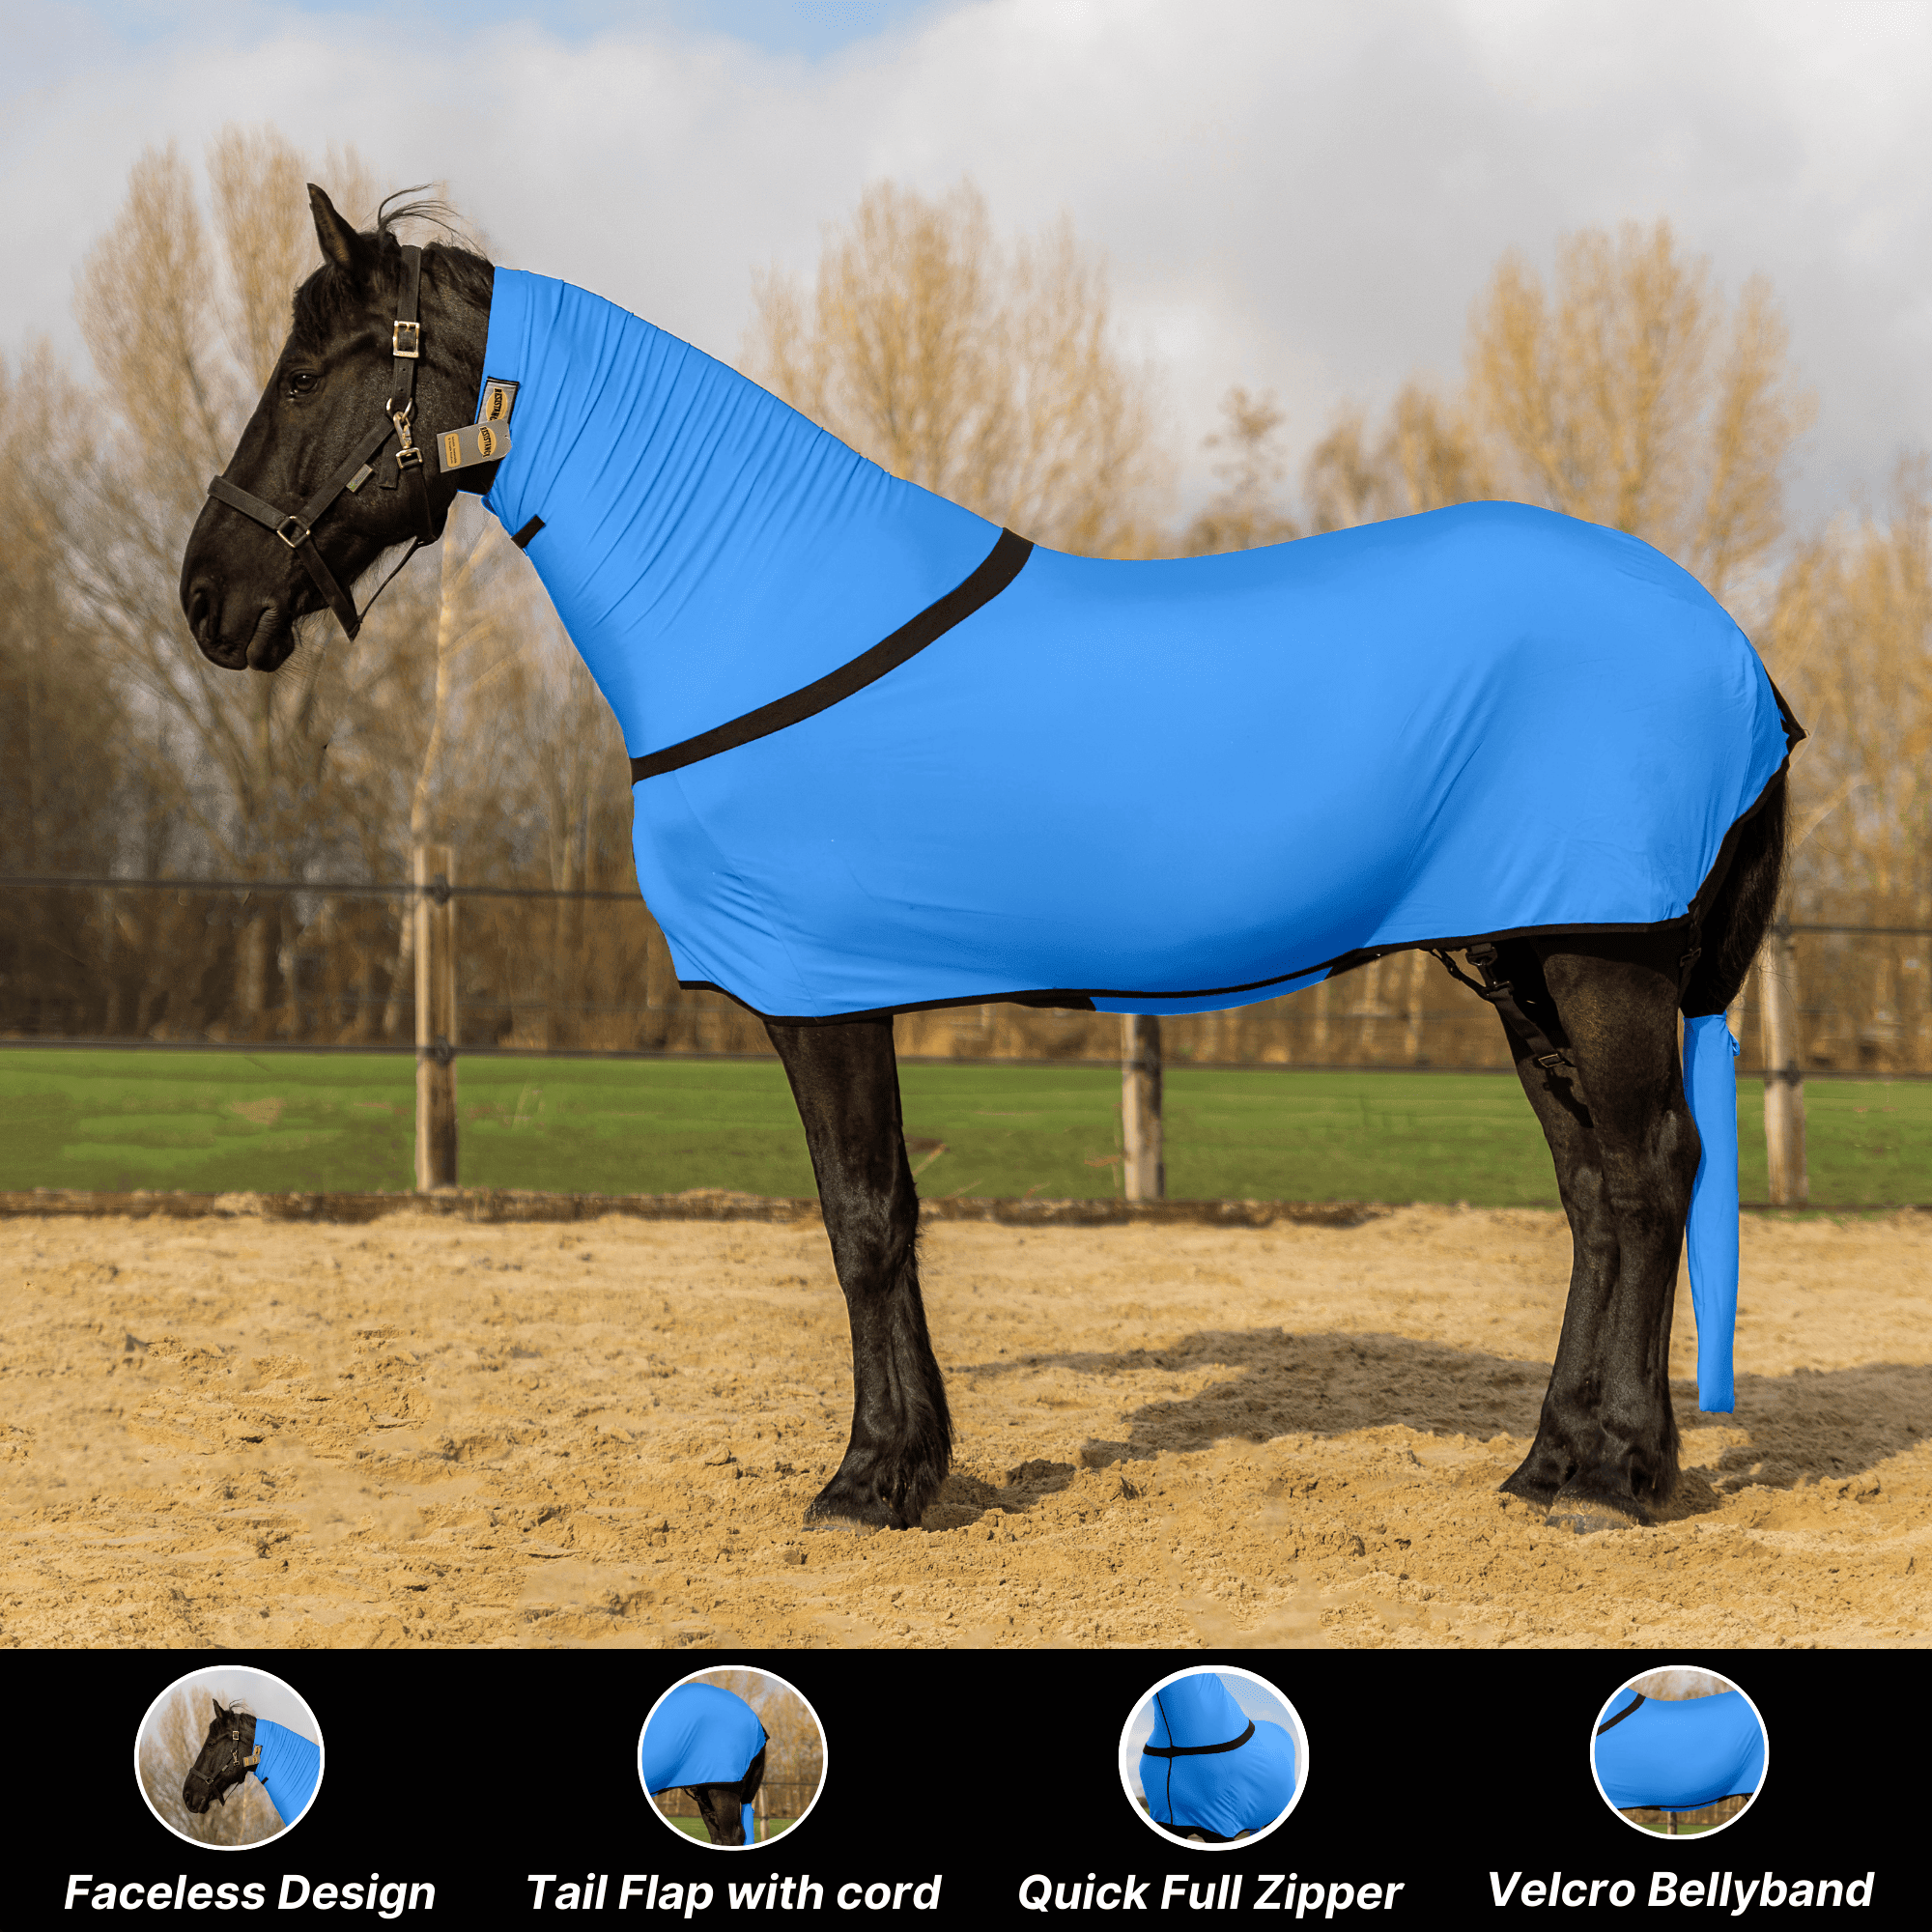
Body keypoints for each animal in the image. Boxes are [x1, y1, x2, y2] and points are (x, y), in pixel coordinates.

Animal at [179, 186, 1797, 1539]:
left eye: (307, 378)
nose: (206, 595)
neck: (766, 611)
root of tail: (1740, 657)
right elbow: (877, 1213)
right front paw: (905, 1464)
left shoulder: (820, 993)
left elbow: (865, 1220)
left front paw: (876, 1479)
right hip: (1527, 958)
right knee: (1593, 1195)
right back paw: (1551, 1462)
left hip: (1603, 956)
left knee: (1649, 1174)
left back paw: (1619, 1480)